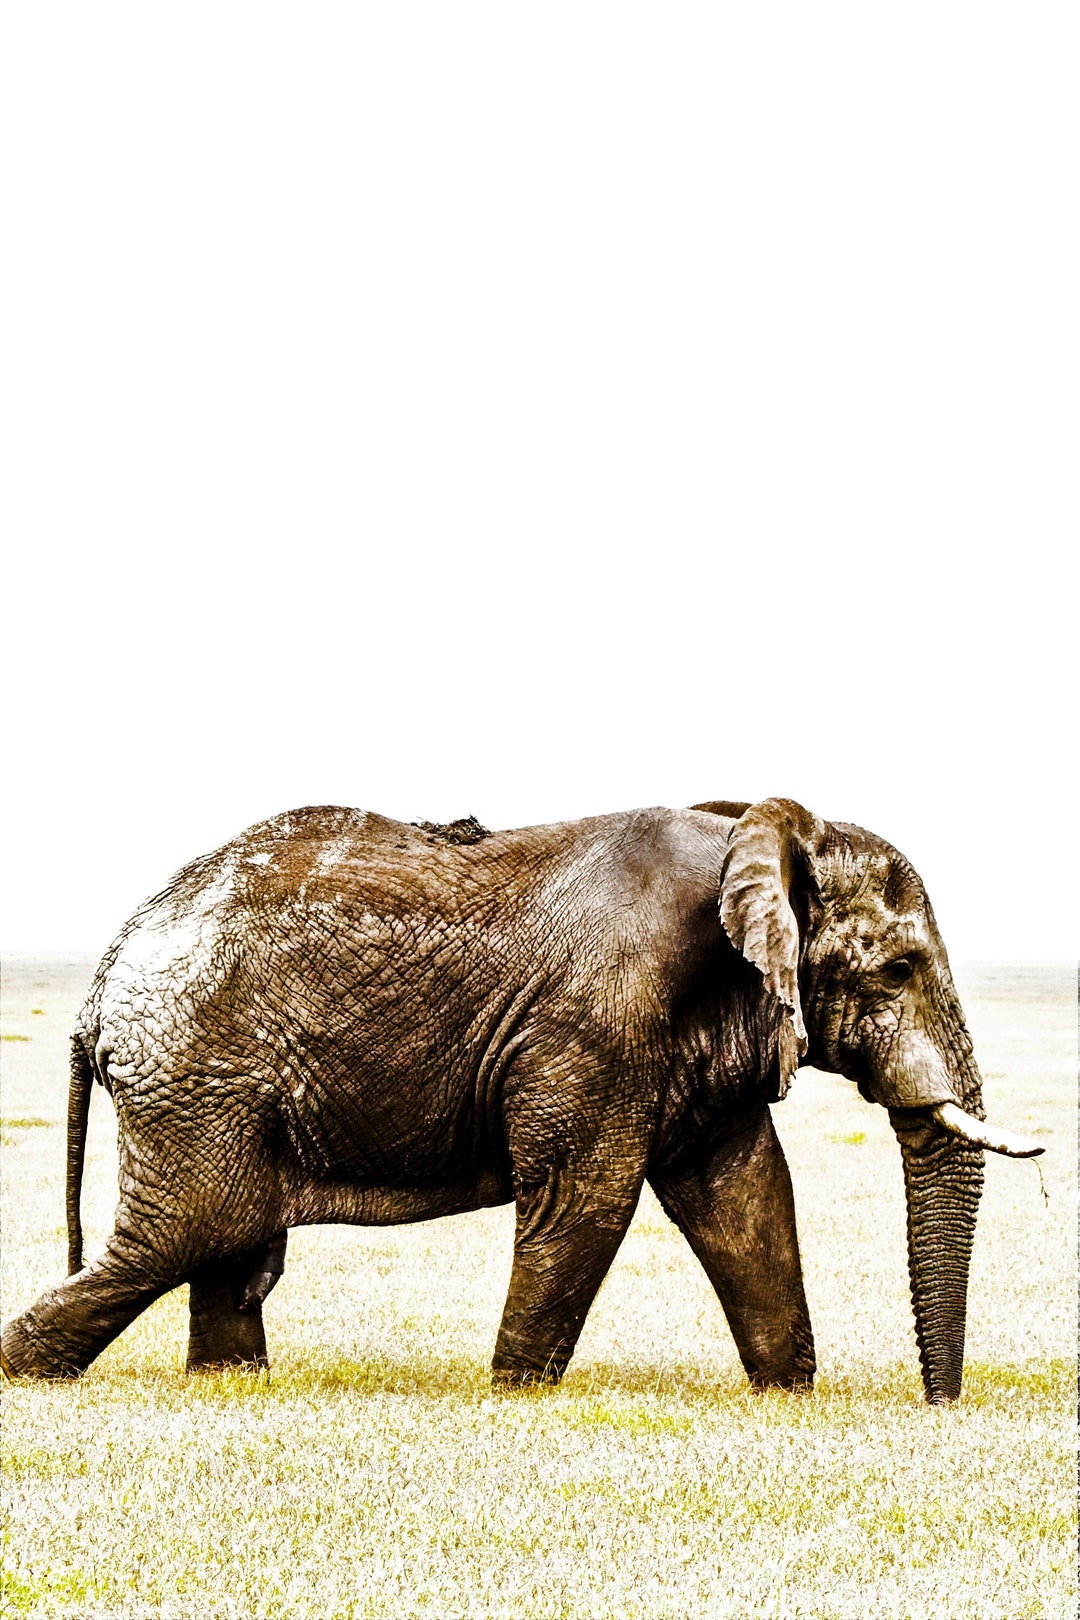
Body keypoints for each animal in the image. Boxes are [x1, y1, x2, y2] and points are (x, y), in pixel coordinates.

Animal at [0, 797, 1042, 1402]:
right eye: (900, 969)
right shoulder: (598, 1018)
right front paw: (513, 1398)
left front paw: (786, 1399)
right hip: (195, 1069)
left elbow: (745, 1199)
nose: (938, 1406)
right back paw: (28, 1377)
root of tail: (102, 977)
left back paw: (229, 1387)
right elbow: (588, 1199)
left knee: (220, 1244)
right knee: (187, 1232)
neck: (755, 834)